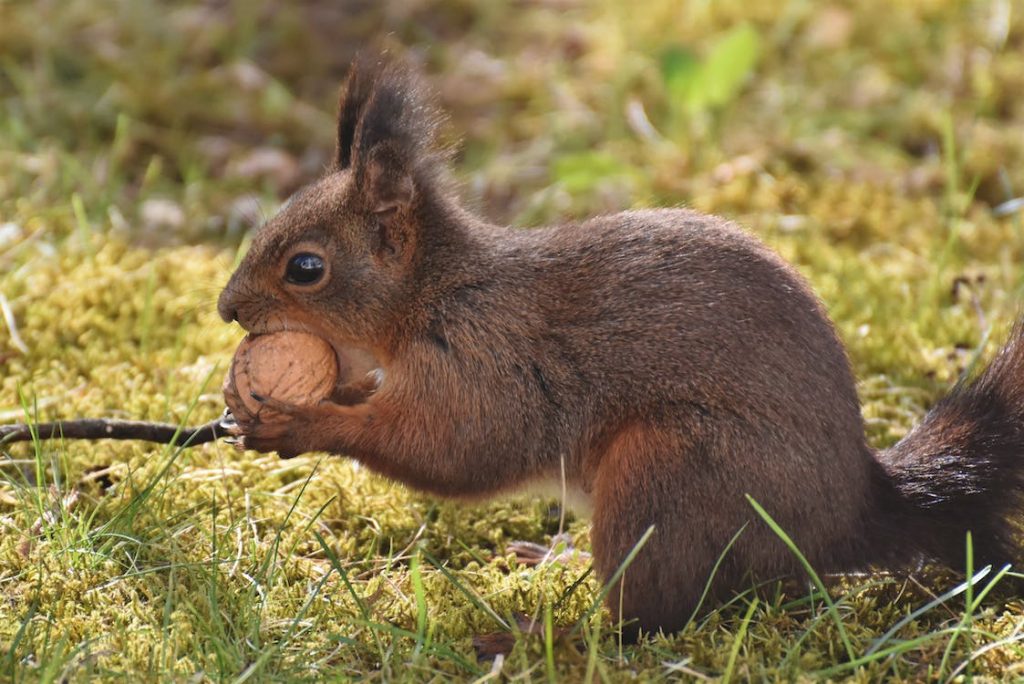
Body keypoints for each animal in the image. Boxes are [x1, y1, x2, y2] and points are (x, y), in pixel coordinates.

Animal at [218, 56, 1024, 639]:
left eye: (306, 268)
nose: (227, 309)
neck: (436, 294)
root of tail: (851, 516)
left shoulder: (486, 361)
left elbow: (452, 451)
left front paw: (302, 422)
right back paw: (558, 557)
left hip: (671, 477)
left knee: (647, 620)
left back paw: (542, 634)